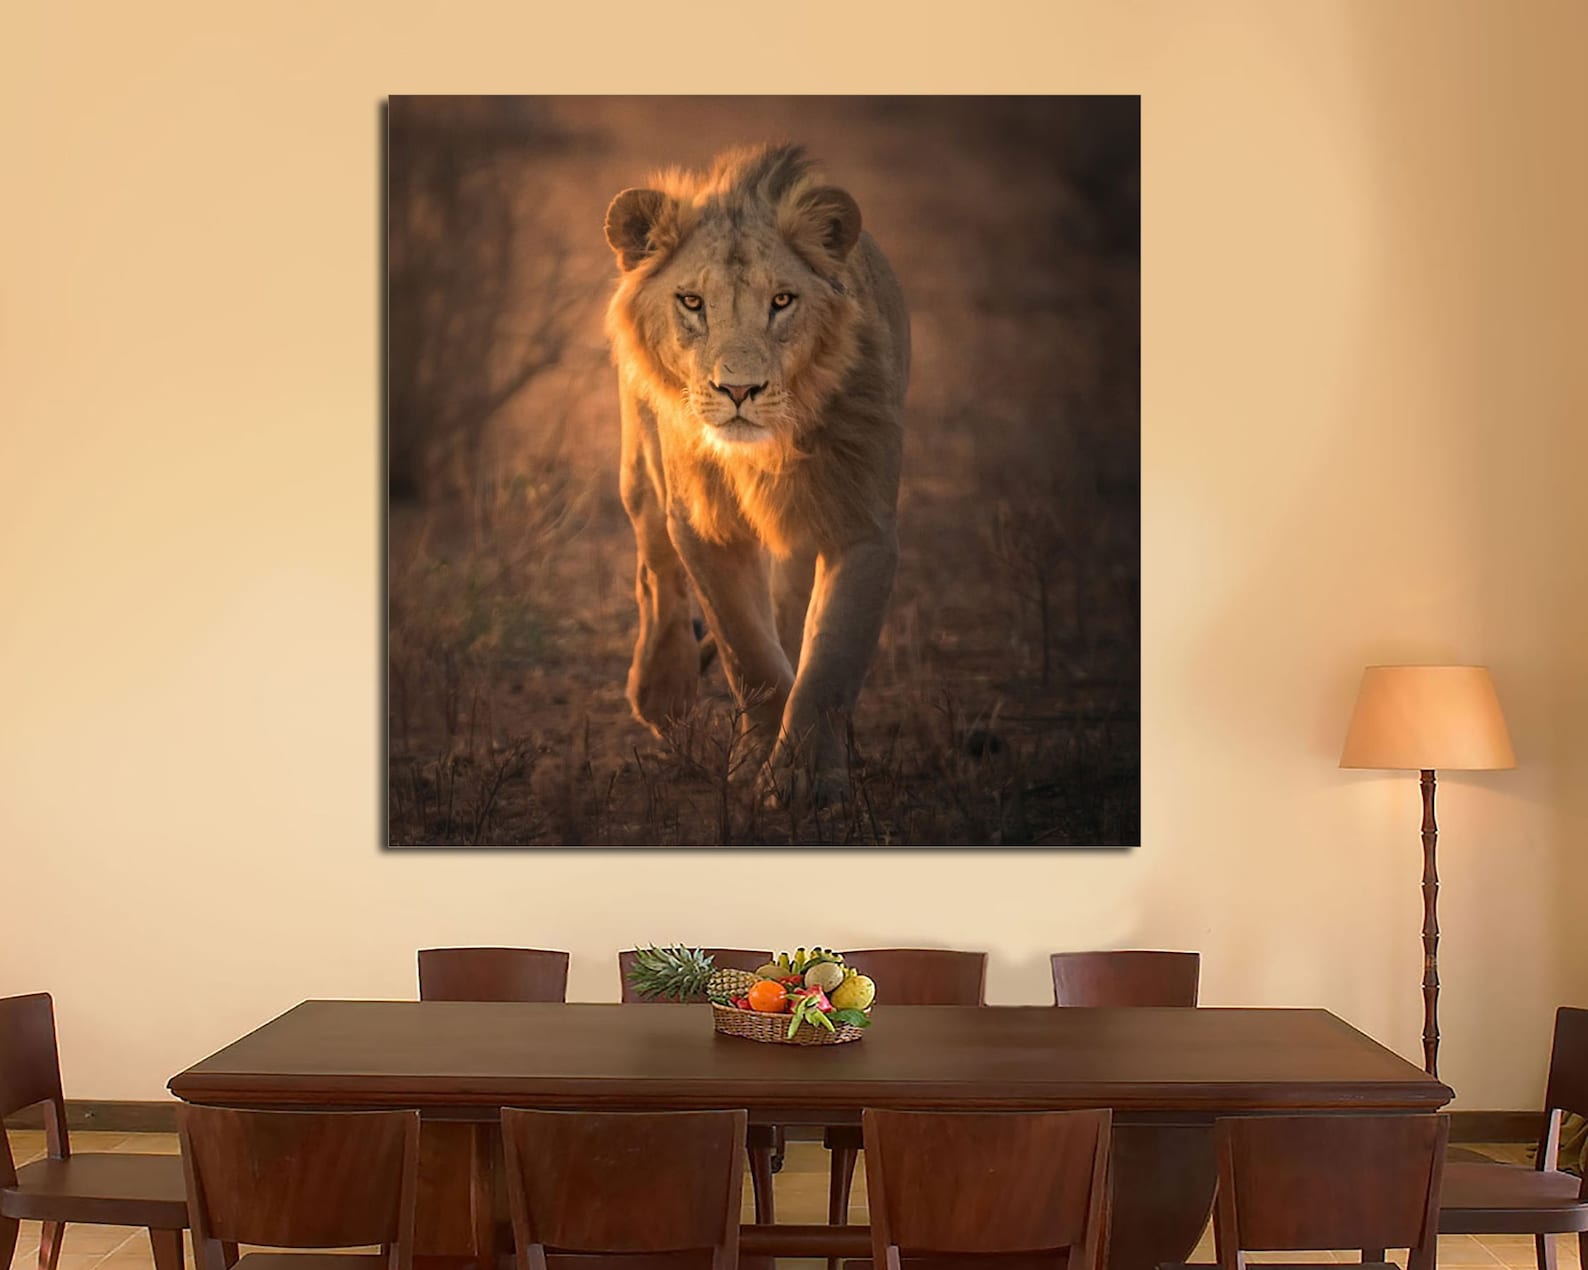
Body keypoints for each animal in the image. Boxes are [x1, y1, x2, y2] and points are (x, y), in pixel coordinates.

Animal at [603, 143, 909, 801]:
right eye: (692, 302)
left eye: (782, 301)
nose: (739, 390)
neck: (767, 451)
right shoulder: (704, 526)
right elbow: (748, 653)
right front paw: (754, 763)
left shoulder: (863, 521)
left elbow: (830, 655)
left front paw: (805, 776)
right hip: (640, 460)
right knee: (653, 563)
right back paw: (663, 692)